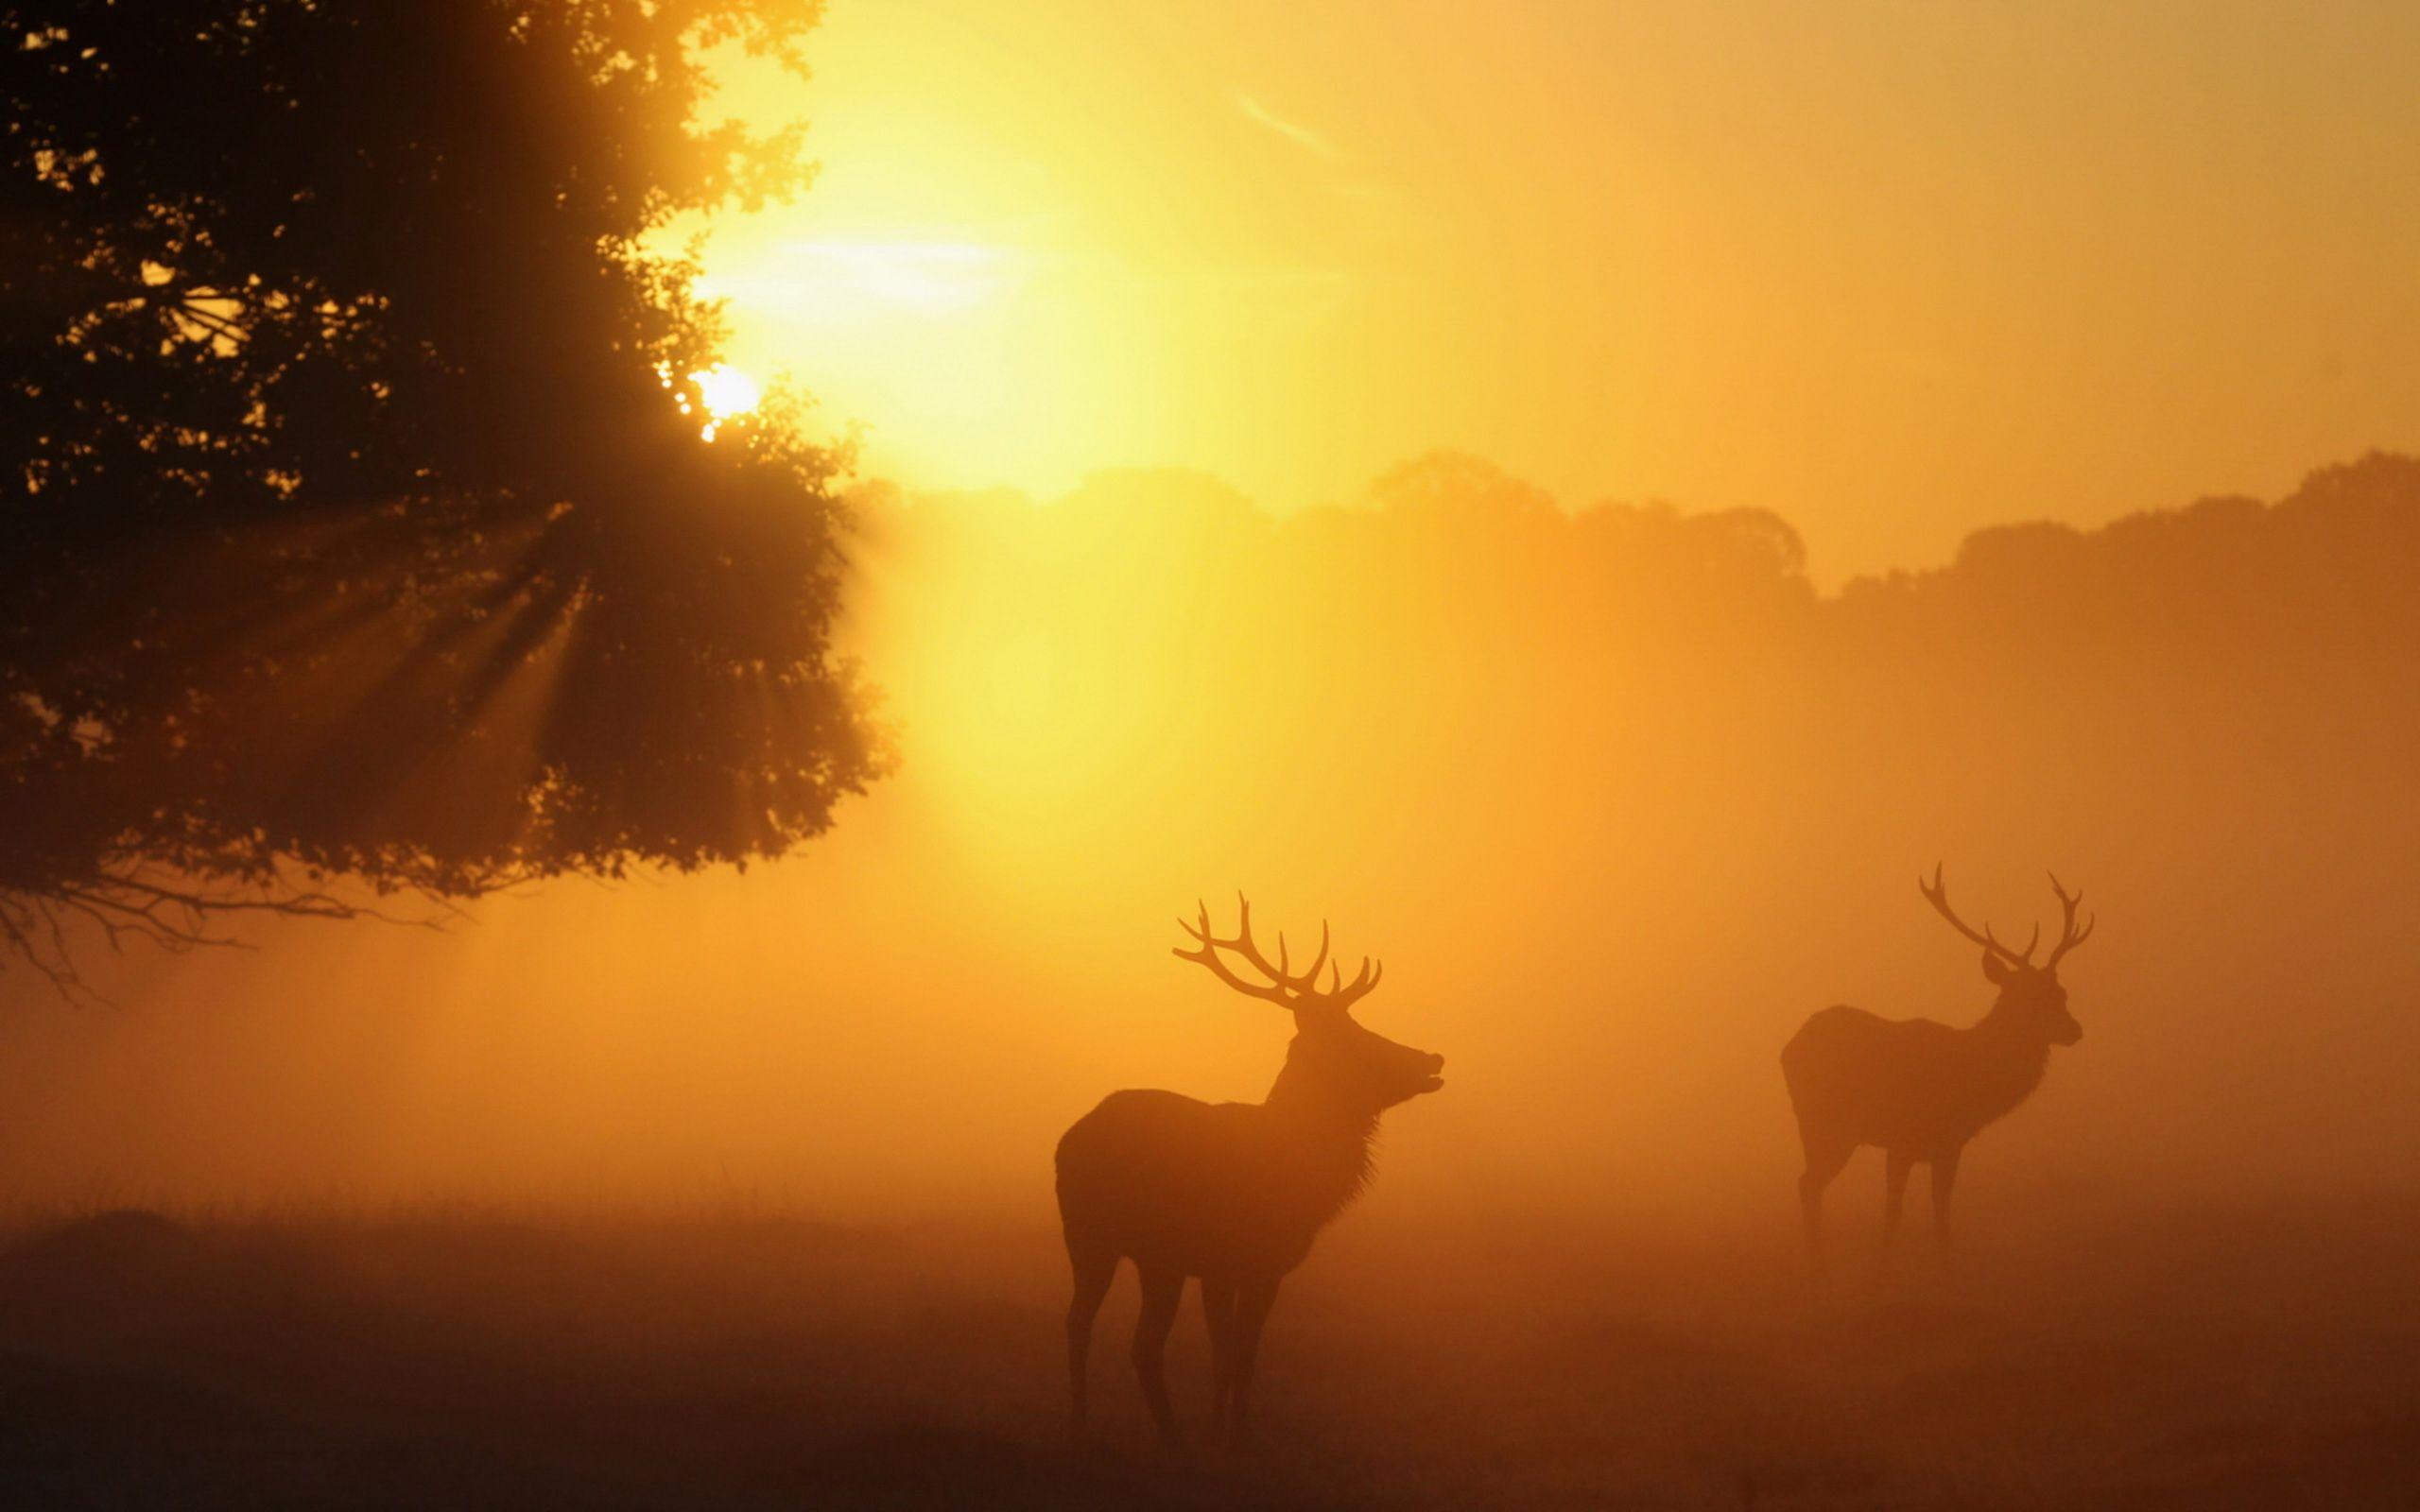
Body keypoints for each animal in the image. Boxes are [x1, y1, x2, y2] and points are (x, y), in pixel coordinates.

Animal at [1055, 895, 1445, 1452]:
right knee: (1109, 1335)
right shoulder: (1239, 1261)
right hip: (1111, 1241)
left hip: (1127, 1252)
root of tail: (1066, 1142)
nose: (1432, 1057)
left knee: (1110, 1334)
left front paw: (1228, 1432)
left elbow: (1235, 1357)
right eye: (1355, 1035)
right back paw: (1125, 1433)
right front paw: (1230, 1440)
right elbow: (1234, 1356)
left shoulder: (1243, 1269)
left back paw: (1128, 1433)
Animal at [1782, 865, 2095, 1273]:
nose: (2075, 1030)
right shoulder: (1906, 1140)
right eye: (2029, 997)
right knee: (1808, 1184)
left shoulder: (1947, 1144)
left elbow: (1940, 1216)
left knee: (1808, 1183)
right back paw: (1818, 1266)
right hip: (1829, 1125)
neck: (1967, 1076)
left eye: (2061, 993)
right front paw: (1884, 1272)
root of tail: (1787, 1049)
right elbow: (1897, 1216)